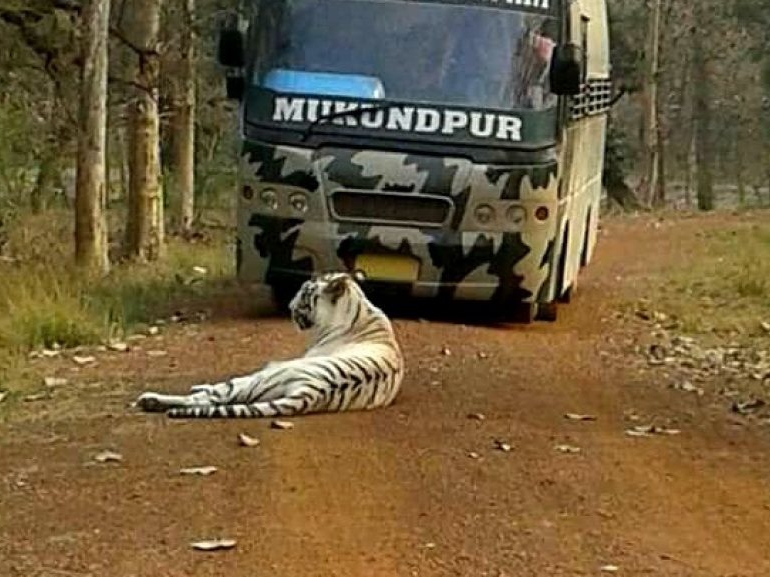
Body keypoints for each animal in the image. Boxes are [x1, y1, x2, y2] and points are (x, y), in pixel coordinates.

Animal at [134, 271, 405, 418]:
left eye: (305, 293)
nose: (289, 306)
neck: (357, 311)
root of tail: (314, 390)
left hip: (258, 378)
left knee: (208, 398)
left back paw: (150, 400)